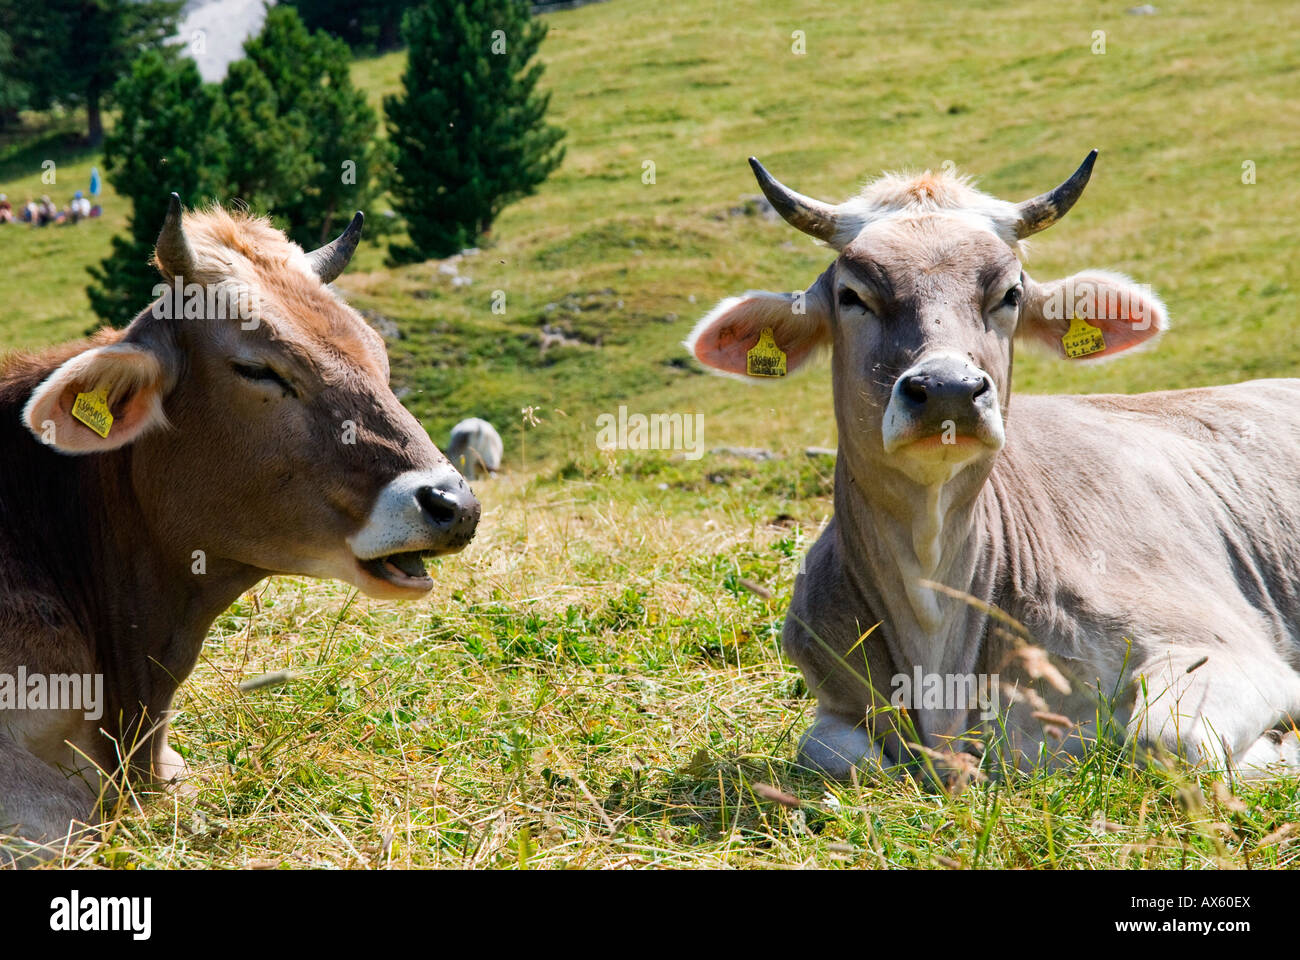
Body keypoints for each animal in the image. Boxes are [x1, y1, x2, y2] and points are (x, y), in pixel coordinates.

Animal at [687, 151, 1300, 782]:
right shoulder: (833, 699)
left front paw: (1279, 749)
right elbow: (839, 755)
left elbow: (1168, 741)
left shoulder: (1219, 642)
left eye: (1009, 293)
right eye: (852, 295)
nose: (949, 389)